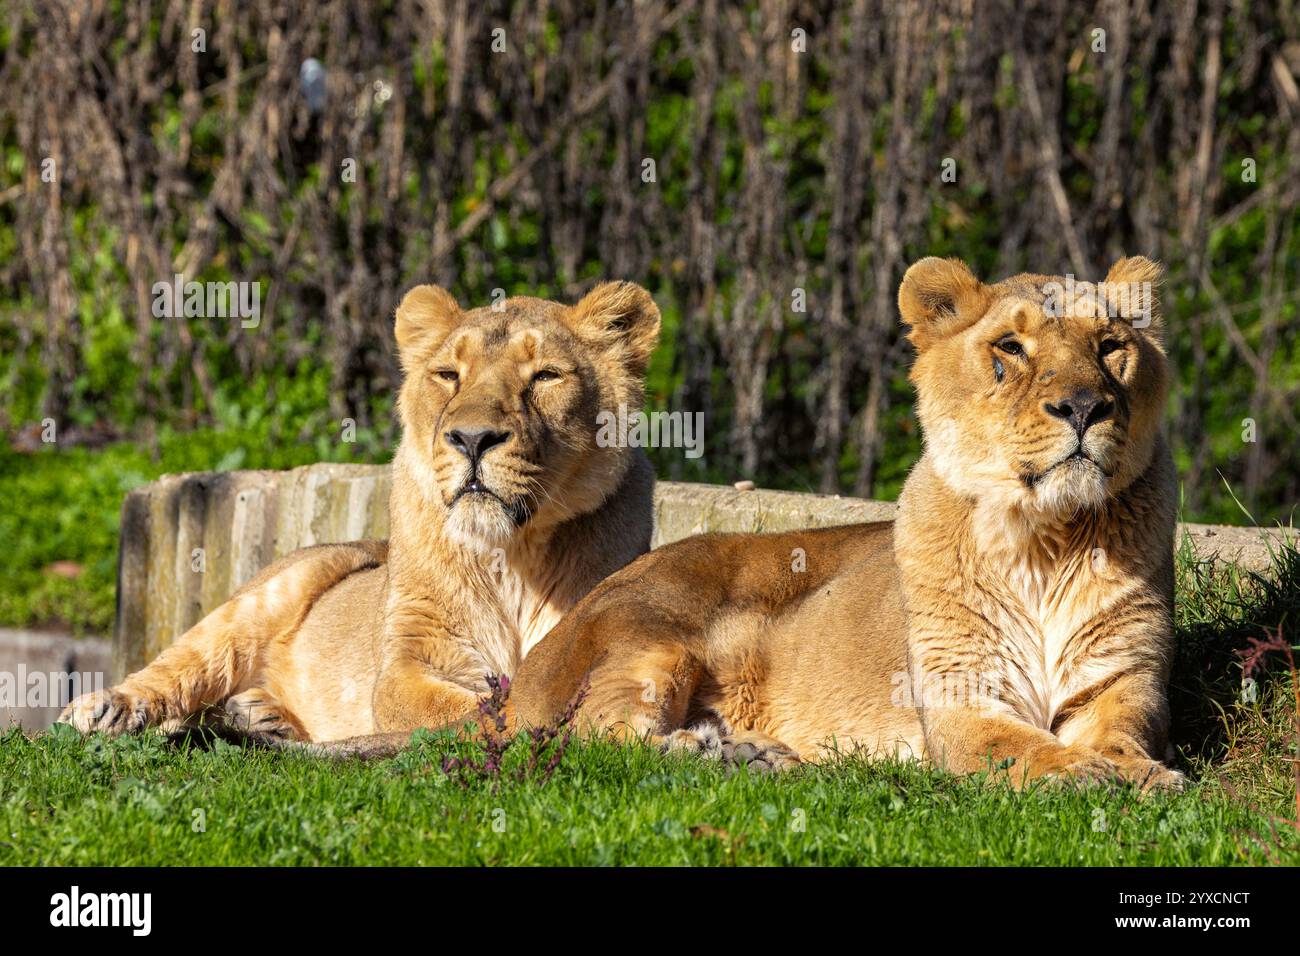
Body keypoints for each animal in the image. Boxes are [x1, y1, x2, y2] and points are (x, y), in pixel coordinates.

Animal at [60, 280, 661, 742]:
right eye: (449, 375)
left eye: (546, 376)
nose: (471, 438)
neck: (512, 556)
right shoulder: (406, 663)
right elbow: (465, 705)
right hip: (269, 594)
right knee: (180, 667)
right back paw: (107, 708)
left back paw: (260, 715)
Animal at [461, 254, 1182, 789]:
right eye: (1010, 348)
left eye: (1111, 348)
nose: (1084, 406)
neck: (1045, 539)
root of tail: (533, 665)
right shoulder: (962, 701)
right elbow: (1025, 747)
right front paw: (1088, 774)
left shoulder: (1122, 686)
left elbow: (1121, 741)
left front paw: (1145, 775)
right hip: (649, 641)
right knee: (599, 742)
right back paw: (725, 756)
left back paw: (747, 753)